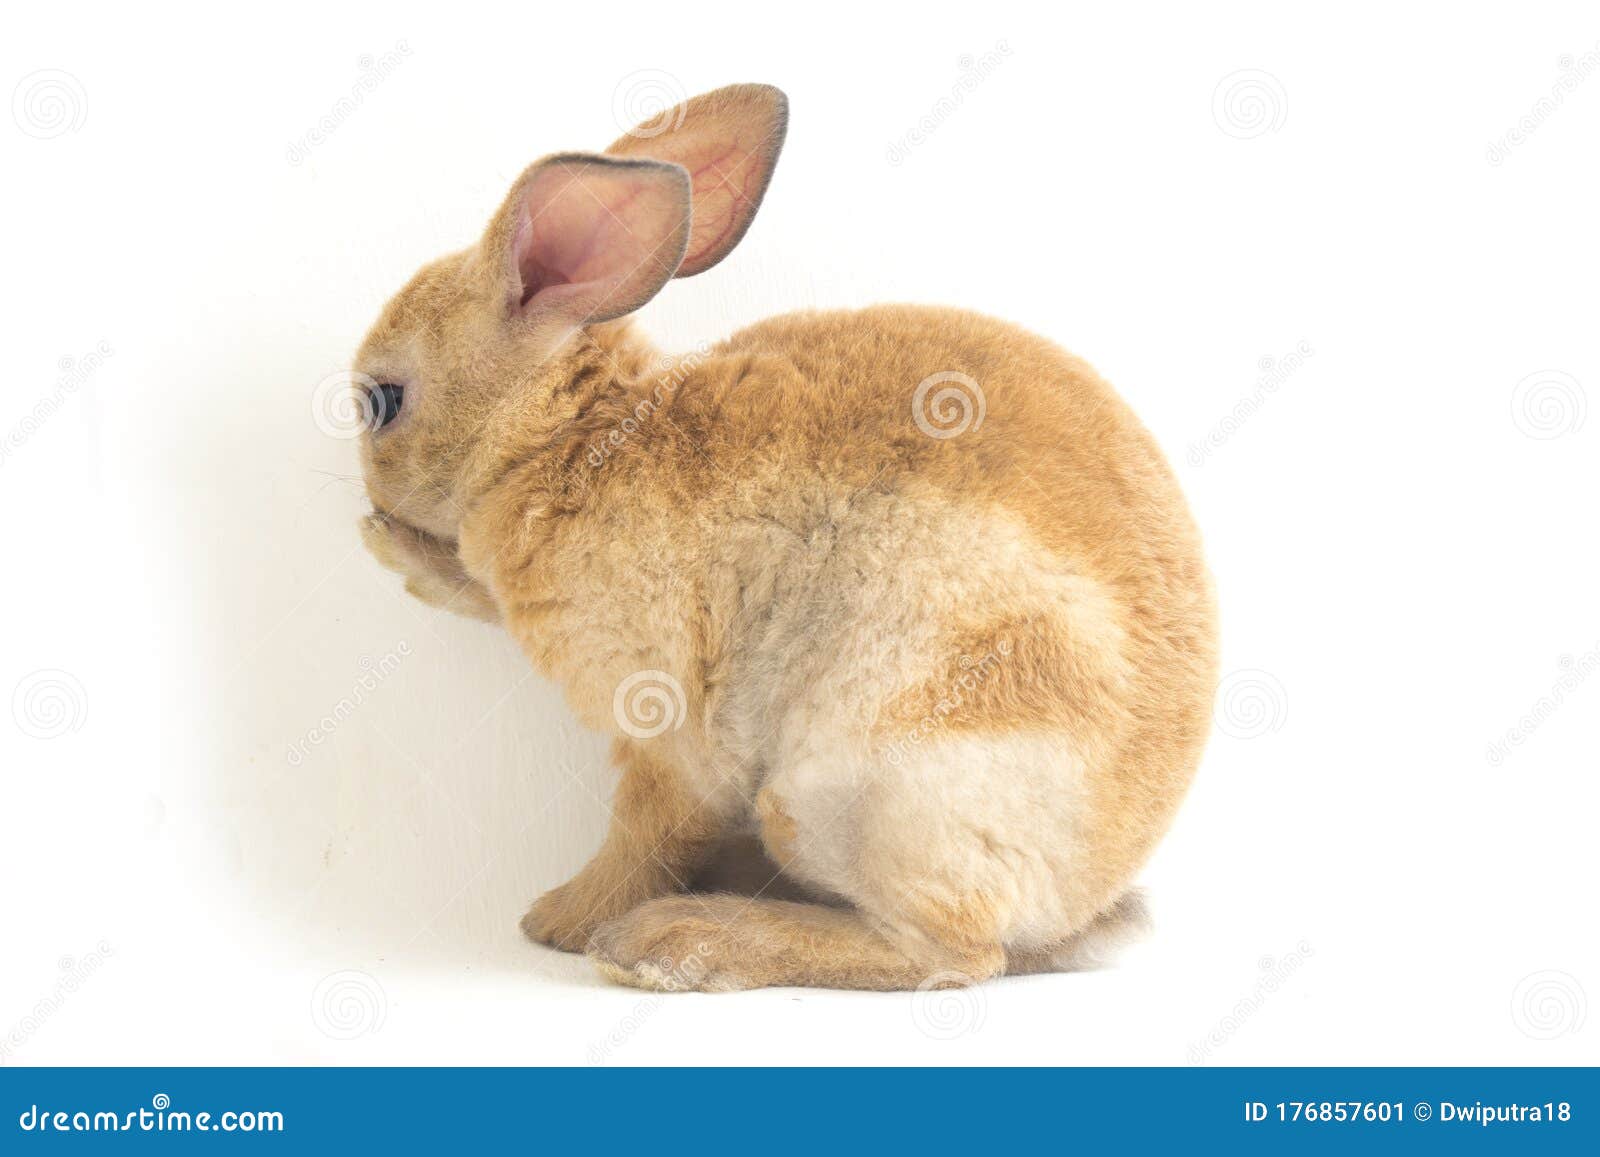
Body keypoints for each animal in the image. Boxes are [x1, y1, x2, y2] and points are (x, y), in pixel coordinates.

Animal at [353, 83, 1218, 992]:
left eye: (382, 401)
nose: (367, 496)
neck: (569, 438)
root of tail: (1087, 900)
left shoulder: (667, 731)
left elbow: (642, 835)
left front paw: (560, 920)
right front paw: (401, 555)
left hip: (855, 788)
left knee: (949, 955)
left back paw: (675, 939)